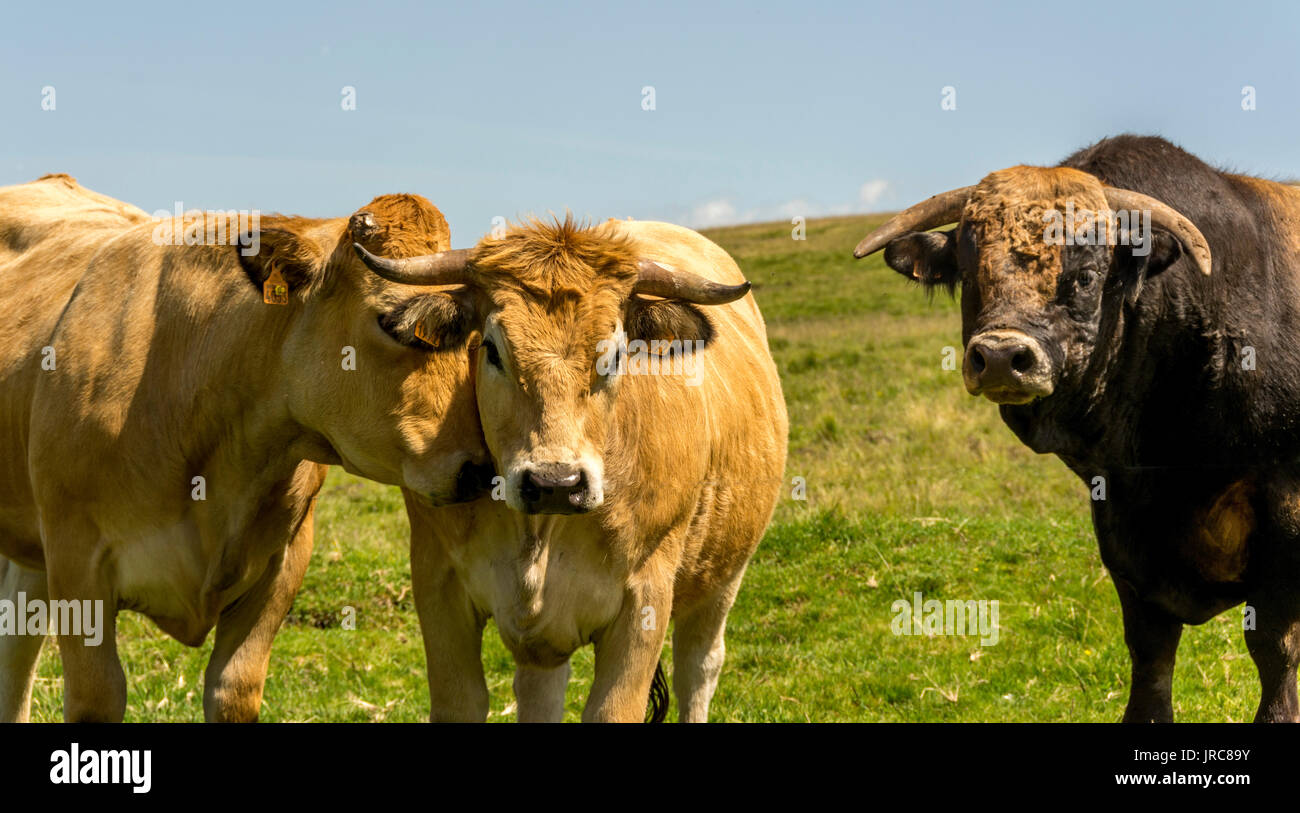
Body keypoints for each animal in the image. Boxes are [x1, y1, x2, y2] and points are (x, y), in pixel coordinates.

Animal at [0, 174, 491, 722]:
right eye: (393, 322)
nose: (479, 468)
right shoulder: (75, 560)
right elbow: (97, 694)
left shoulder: (285, 559)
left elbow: (234, 687)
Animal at [355, 216, 788, 722]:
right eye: (491, 349)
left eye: (616, 354)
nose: (555, 483)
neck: (537, 533)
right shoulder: (437, 584)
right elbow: (462, 700)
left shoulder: (645, 600)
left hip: (724, 574)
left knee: (699, 667)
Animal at [854, 134, 1300, 722]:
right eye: (970, 275)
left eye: (1084, 276)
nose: (1001, 357)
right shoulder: (1122, 531)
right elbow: (1150, 655)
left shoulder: (1284, 510)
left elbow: (1274, 649)